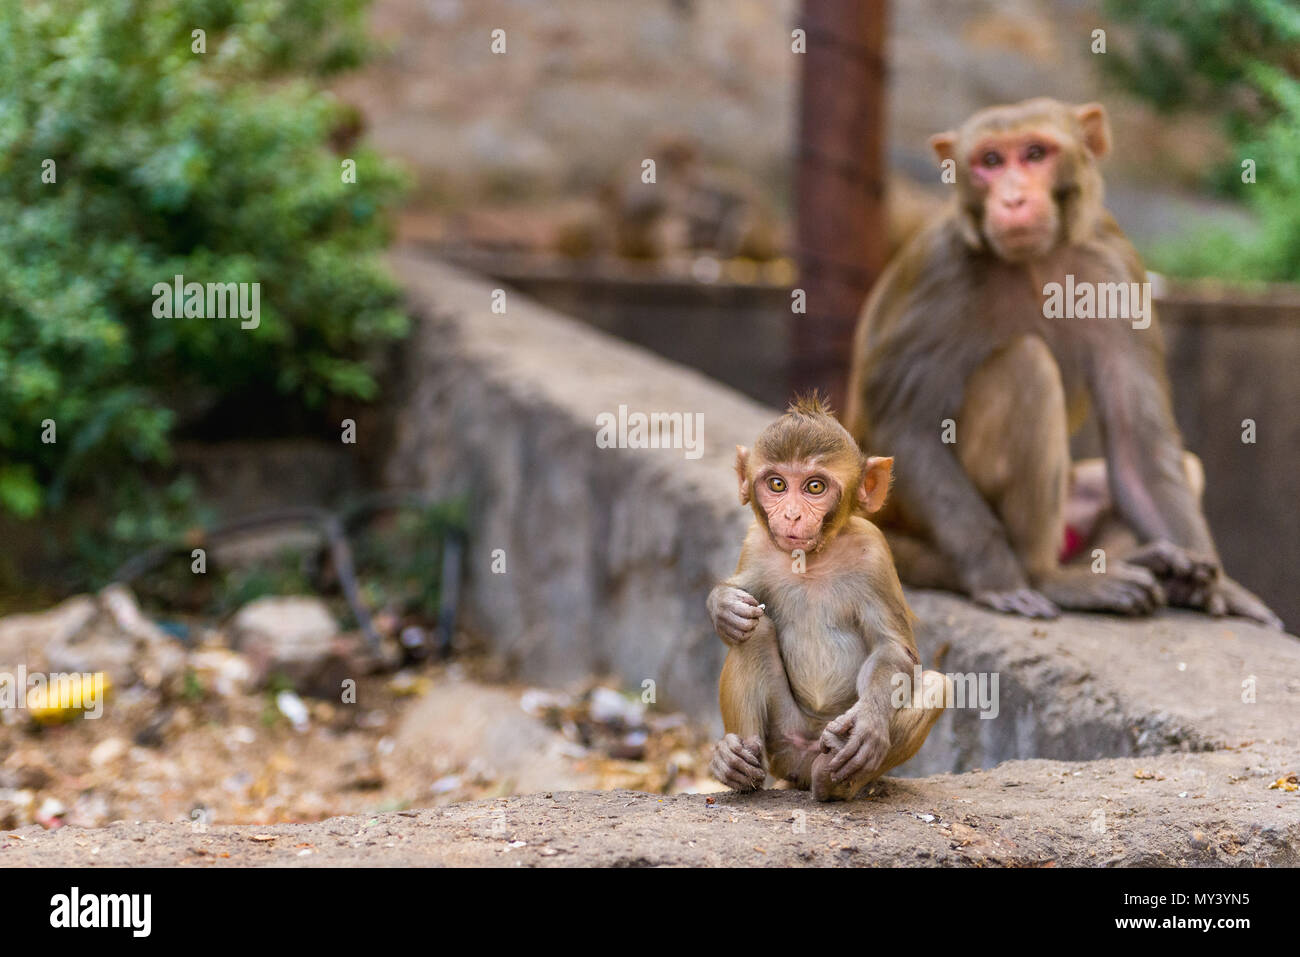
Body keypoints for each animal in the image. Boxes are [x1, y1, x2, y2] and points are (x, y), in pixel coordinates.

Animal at [706, 396, 952, 800]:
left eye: (815, 487)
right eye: (777, 483)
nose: (792, 515)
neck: (812, 560)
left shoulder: (874, 553)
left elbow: (894, 650)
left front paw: (867, 724)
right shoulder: (756, 543)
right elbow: (742, 603)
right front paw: (724, 607)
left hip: (825, 743)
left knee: (937, 684)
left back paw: (832, 779)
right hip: (784, 742)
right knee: (753, 633)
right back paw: (735, 762)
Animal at [843, 98, 1282, 629]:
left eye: (1036, 153)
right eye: (990, 161)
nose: (1013, 200)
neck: (1036, 262)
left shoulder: (1114, 268)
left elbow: (1137, 445)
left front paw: (1220, 587)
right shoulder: (942, 271)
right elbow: (904, 425)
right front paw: (1000, 578)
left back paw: (1143, 563)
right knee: (1026, 366)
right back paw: (1049, 577)